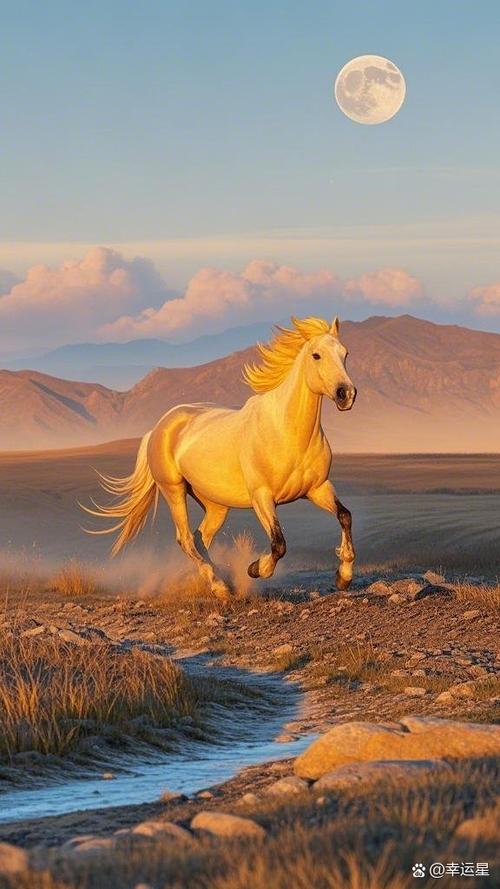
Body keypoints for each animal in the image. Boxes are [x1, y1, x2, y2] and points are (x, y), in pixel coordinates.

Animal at [84, 315, 357, 598]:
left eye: (345, 354)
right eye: (316, 355)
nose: (346, 394)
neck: (286, 432)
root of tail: (159, 427)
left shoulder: (317, 488)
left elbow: (345, 516)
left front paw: (343, 577)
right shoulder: (262, 496)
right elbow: (278, 543)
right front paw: (255, 569)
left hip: (216, 504)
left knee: (200, 537)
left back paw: (219, 580)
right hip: (173, 490)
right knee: (186, 539)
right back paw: (220, 586)